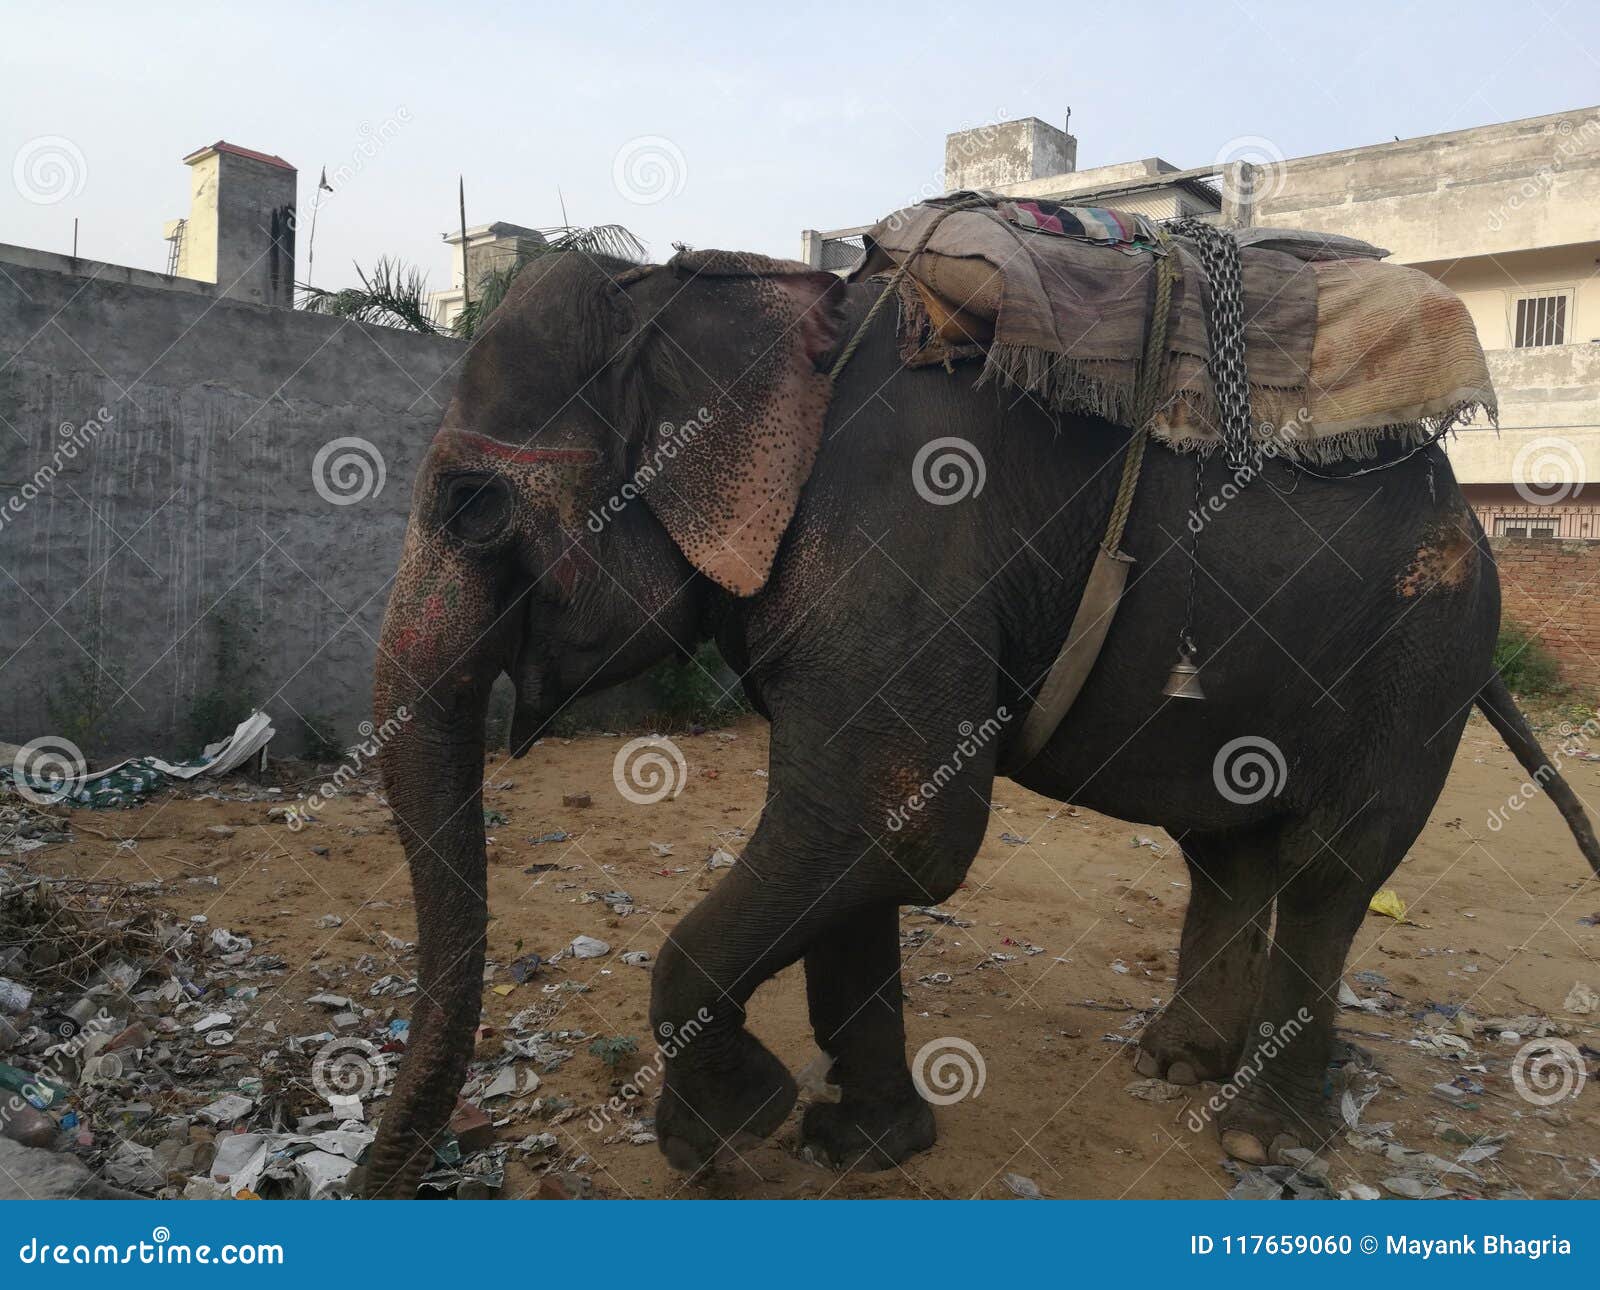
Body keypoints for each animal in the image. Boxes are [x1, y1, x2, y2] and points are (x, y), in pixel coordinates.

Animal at [361, 248, 1599, 1196]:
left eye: (472, 510)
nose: (385, 1182)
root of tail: (1471, 521)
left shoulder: (904, 534)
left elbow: (895, 827)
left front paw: (727, 1132)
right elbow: (854, 837)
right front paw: (858, 1147)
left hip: (1421, 656)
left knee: (1329, 865)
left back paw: (1260, 1138)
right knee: (1225, 849)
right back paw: (1175, 1067)